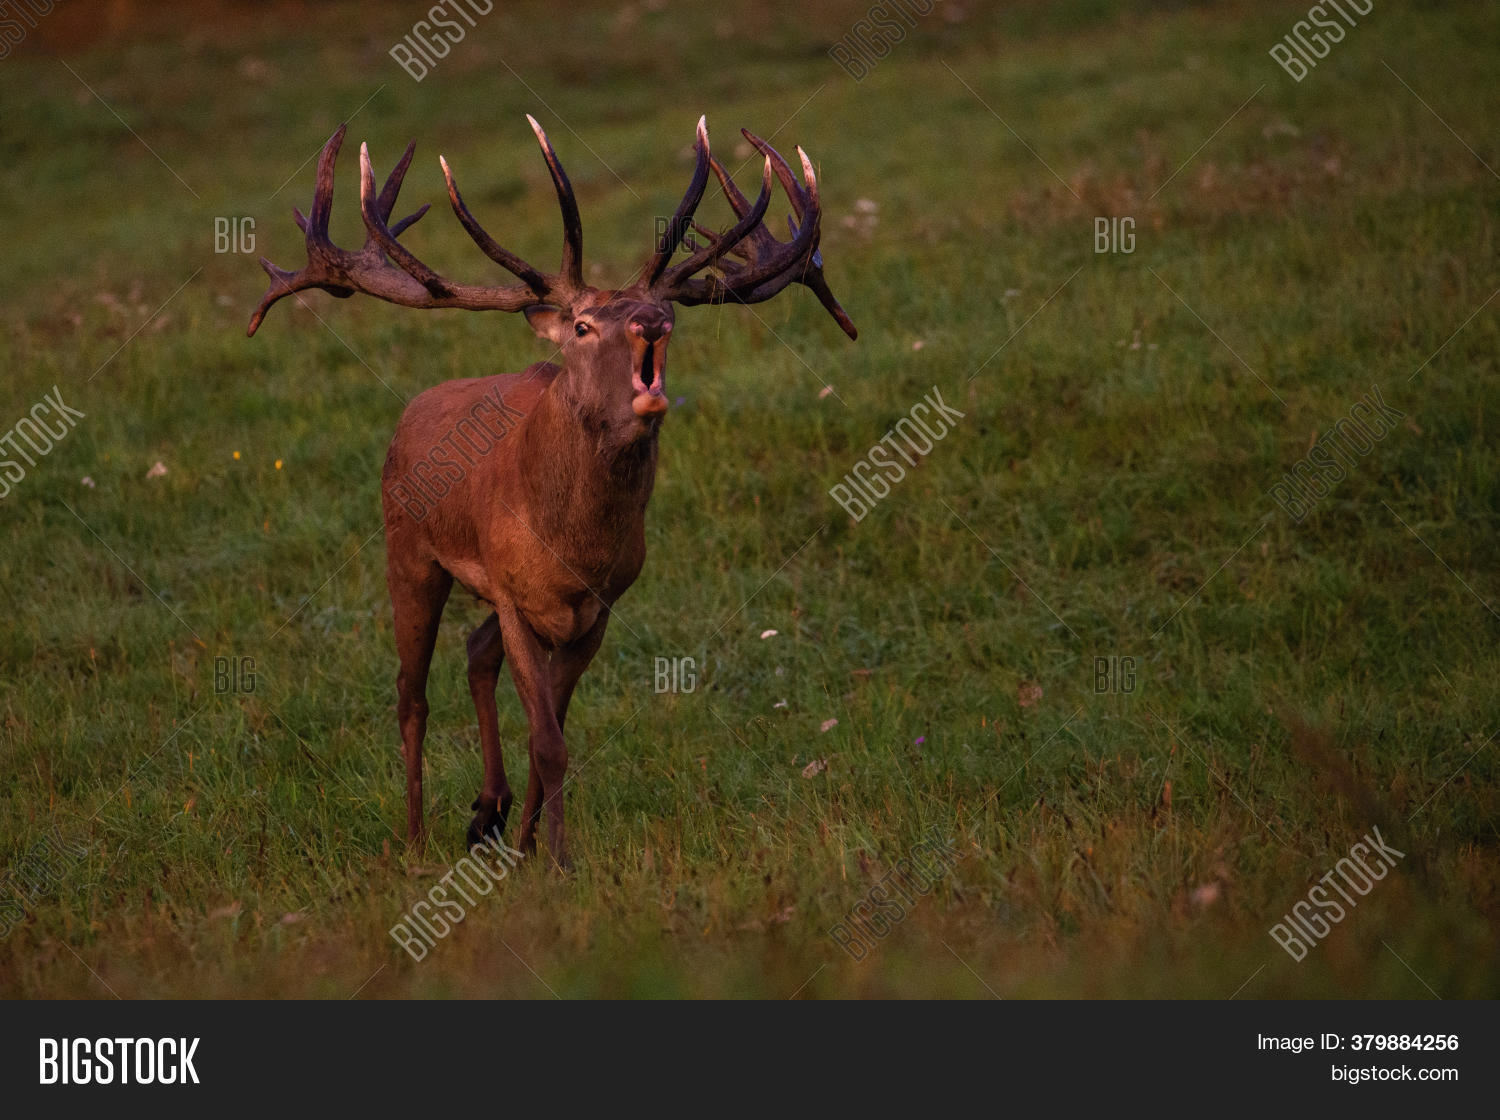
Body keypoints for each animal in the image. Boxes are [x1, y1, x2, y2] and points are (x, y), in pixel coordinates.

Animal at [246, 115, 856, 867]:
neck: (574, 545)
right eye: (585, 325)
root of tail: (411, 411)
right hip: (408, 551)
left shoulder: (598, 605)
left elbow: (554, 734)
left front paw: (531, 842)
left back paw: (488, 810)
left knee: (475, 653)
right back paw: (415, 837)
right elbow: (548, 741)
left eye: (666, 312)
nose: (651, 322)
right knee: (410, 692)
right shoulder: (512, 593)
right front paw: (560, 860)